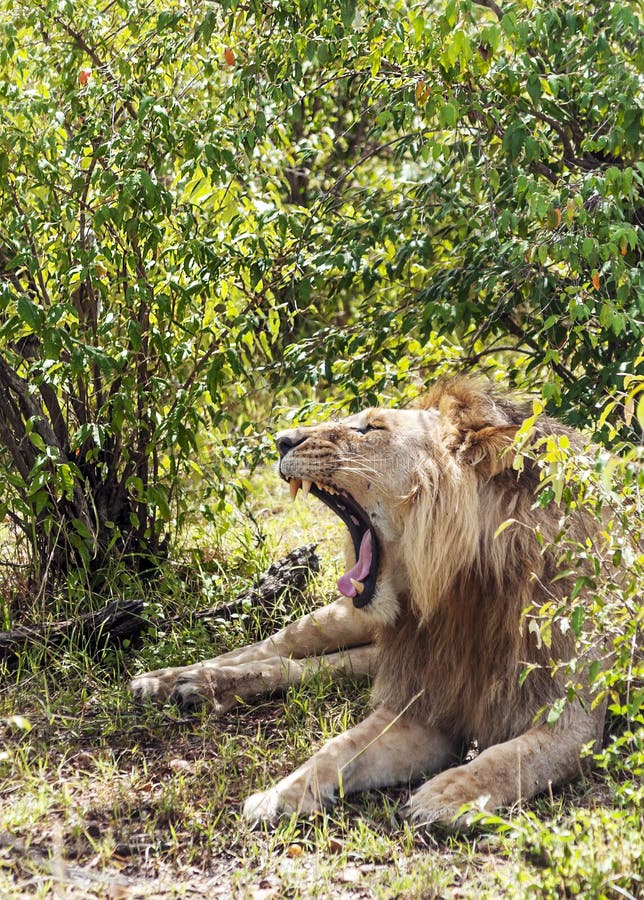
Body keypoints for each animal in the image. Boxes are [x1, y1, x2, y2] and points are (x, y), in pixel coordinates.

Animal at [130, 377, 608, 828]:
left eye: (370, 428)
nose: (282, 439)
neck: (459, 589)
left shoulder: (572, 721)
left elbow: (510, 759)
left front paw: (447, 794)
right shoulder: (423, 699)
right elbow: (339, 747)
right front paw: (278, 795)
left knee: (309, 668)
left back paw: (200, 688)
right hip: (341, 618)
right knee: (274, 646)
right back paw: (173, 680)